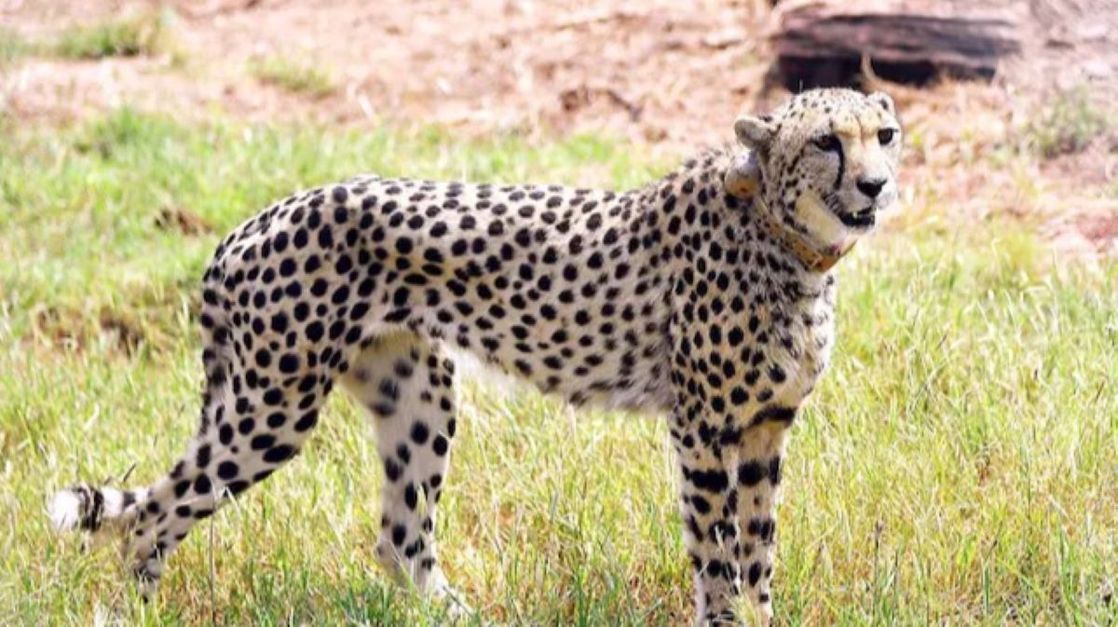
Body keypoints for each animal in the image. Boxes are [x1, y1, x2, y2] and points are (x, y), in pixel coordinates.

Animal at [48, 87, 902, 624]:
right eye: (827, 141)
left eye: (884, 135)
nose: (875, 183)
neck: (790, 241)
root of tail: (253, 220)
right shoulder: (702, 428)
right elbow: (716, 551)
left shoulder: (766, 427)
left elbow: (759, 549)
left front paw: (763, 613)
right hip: (272, 407)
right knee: (150, 515)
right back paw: (140, 611)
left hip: (417, 393)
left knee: (400, 538)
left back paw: (462, 616)